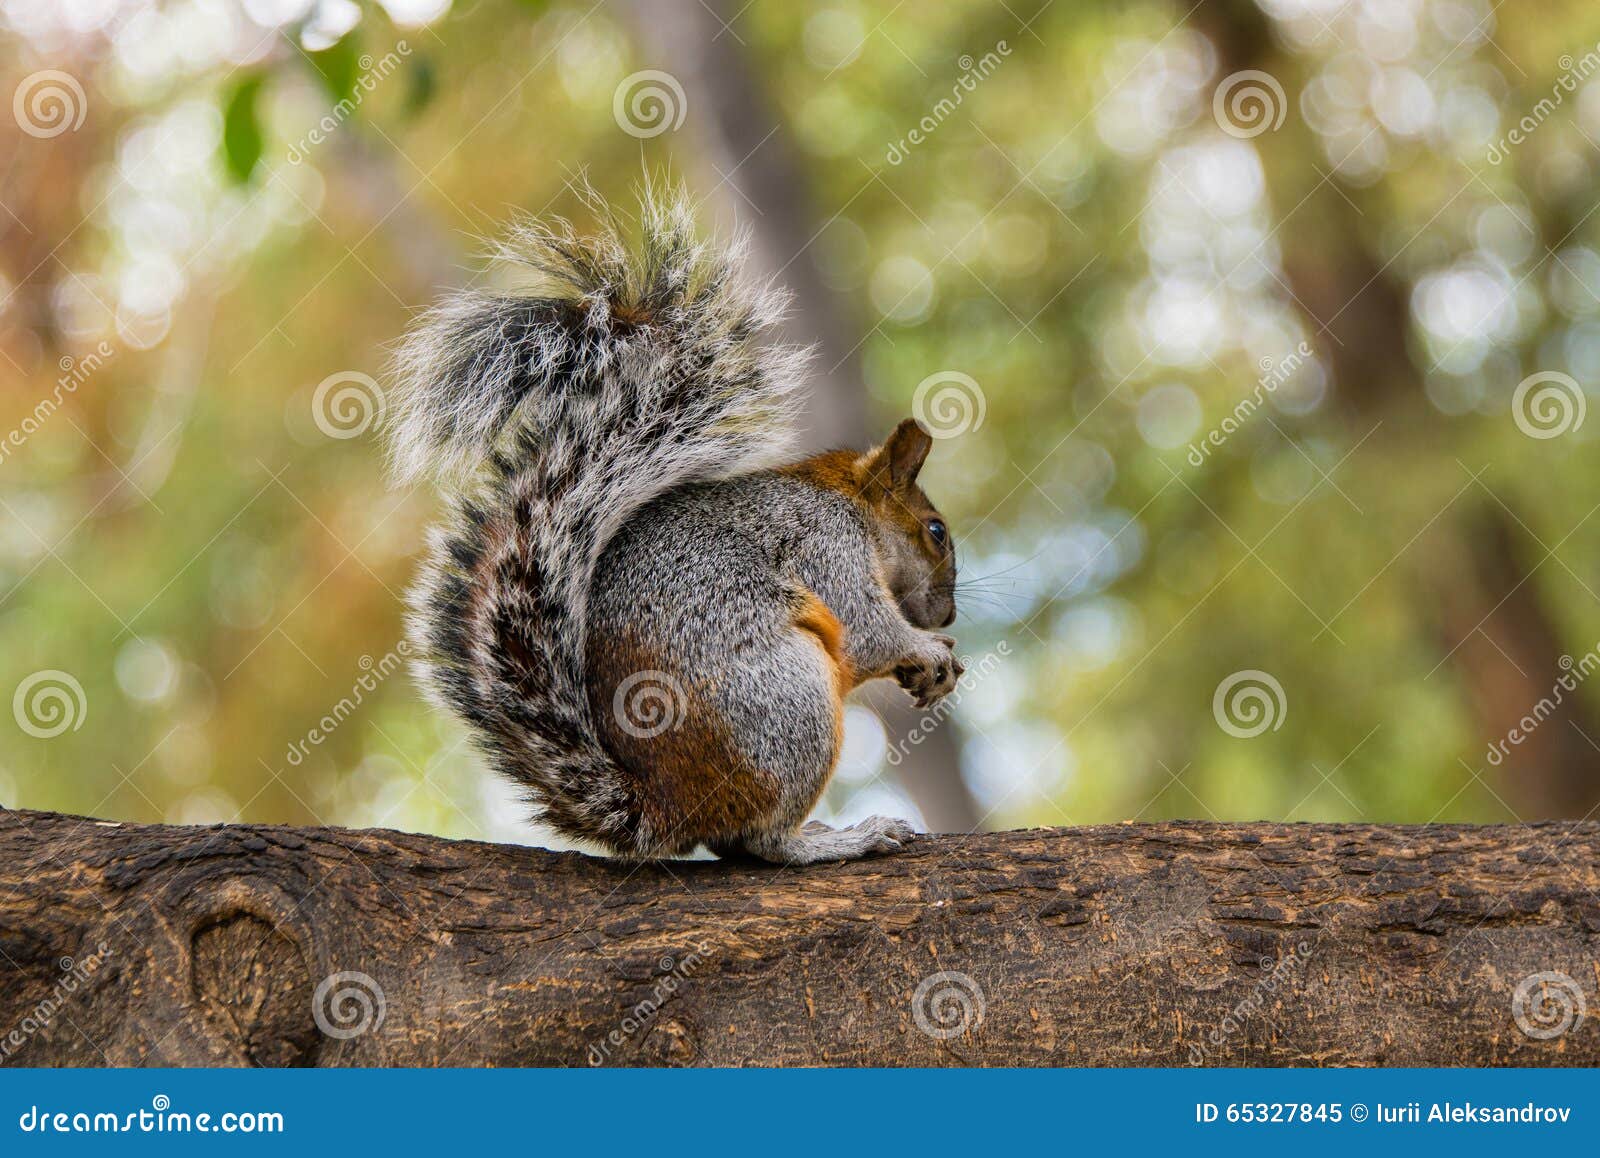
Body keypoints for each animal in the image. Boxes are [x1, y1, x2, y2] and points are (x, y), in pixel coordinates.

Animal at [387, 193, 963, 864]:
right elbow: (866, 626)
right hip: (786, 705)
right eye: (935, 531)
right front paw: (927, 651)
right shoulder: (825, 543)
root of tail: (661, 805)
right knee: (761, 837)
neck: (850, 507)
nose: (948, 615)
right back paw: (836, 841)